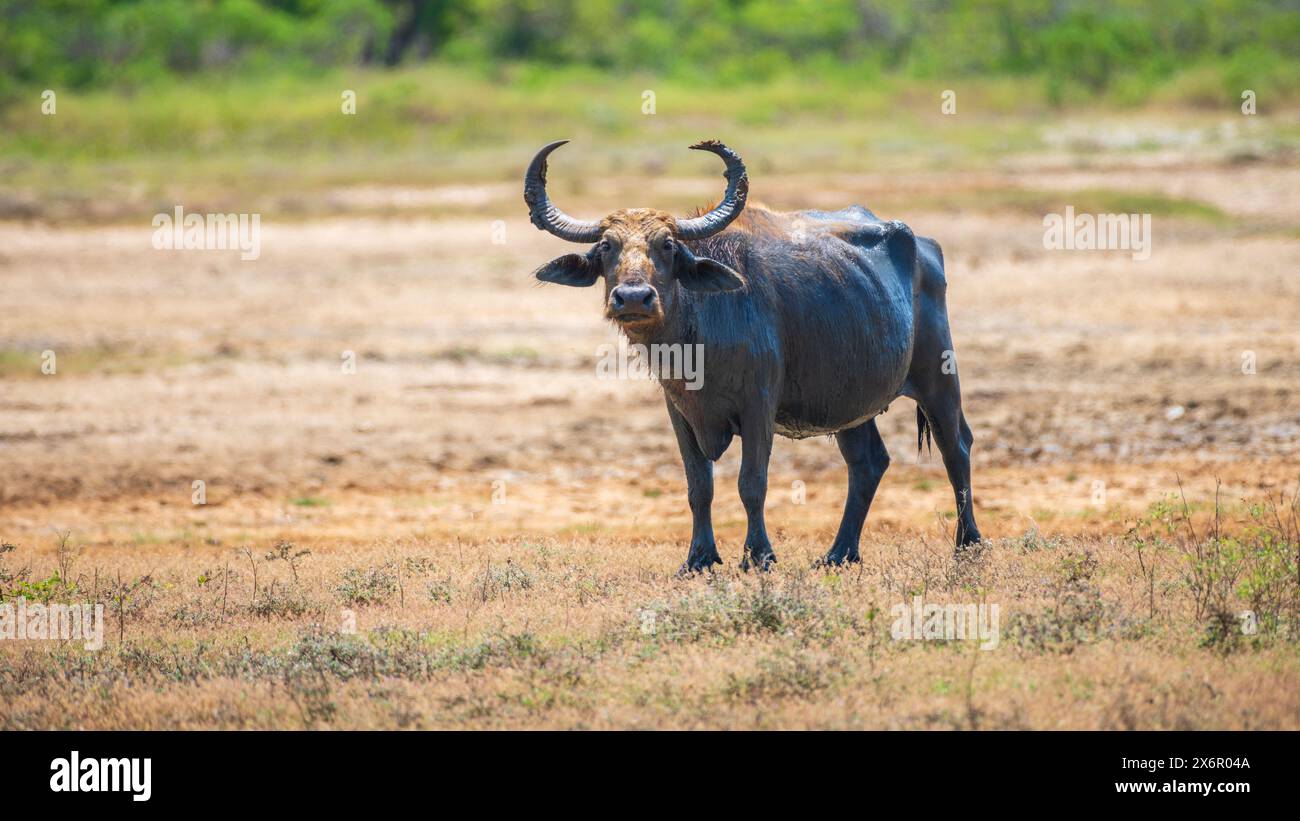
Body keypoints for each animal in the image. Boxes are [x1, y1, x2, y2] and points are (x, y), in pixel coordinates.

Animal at [524, 139, 982, 572]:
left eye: (667, 245)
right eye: (606, 246)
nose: (633, 297)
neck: (698, 338)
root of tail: (924, 246)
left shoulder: (758, 405)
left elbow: (752, 482)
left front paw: (759, 555)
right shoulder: (679, 411)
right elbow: (699, 486)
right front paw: (698, 558)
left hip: (938, 374)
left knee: (955, 445)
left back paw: (968, 544)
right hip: (849, 402)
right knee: (868, 462)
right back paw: (839, 553)